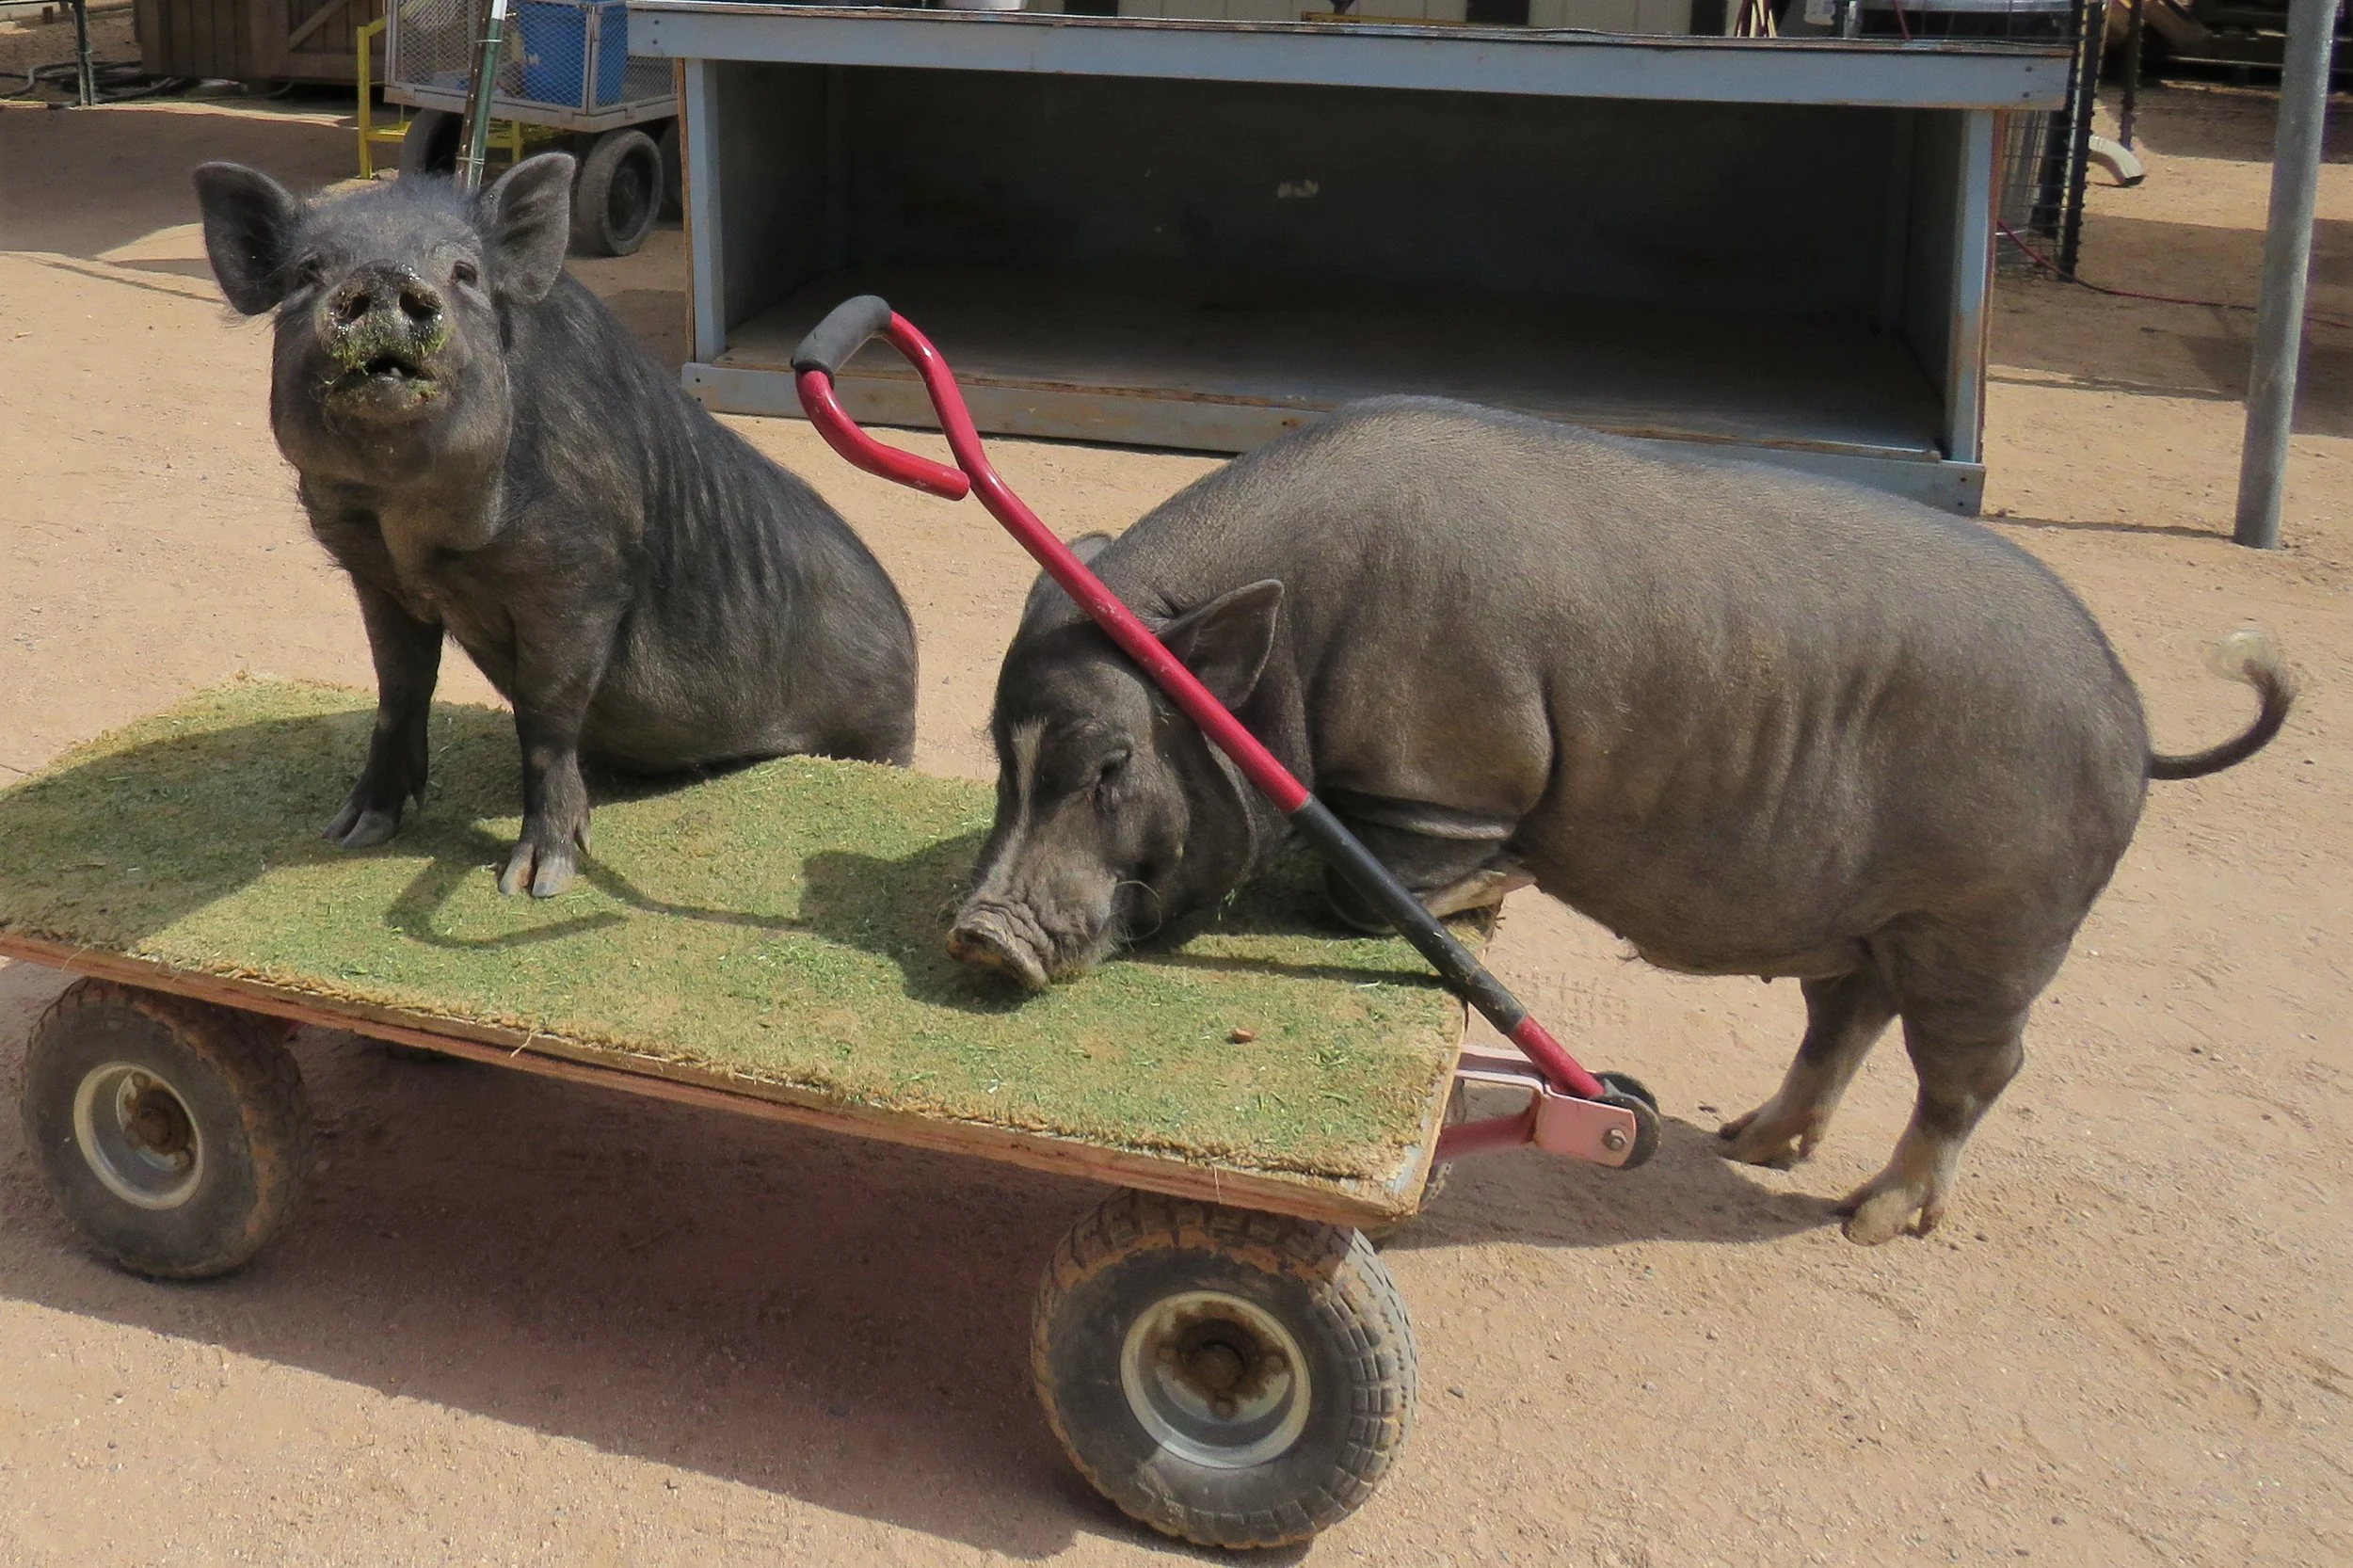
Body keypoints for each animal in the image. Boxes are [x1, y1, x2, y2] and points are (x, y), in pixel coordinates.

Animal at [191, 155, 918, 896]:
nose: (387, 275)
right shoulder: (377, 575)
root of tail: (904, 624)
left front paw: (536, 881)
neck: (412, 530)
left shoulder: (580, 575)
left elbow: (546, 713)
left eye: (465, 272)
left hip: (882, 725)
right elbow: (399, 687)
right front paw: (351, 832)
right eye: (308, 272)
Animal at [947, 397, 2293, 1244]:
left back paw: (1868, 1223)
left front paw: (1481, 892)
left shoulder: (1447, 778)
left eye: (1111, 761)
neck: (1282, 683)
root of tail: (2132, 718)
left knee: (1973, 1071)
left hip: (1993, 928)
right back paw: (1751, 1143)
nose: (980, 934)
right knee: (1846, 1018)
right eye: (1003, 761)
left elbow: (1375, 880)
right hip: (1871, 920)